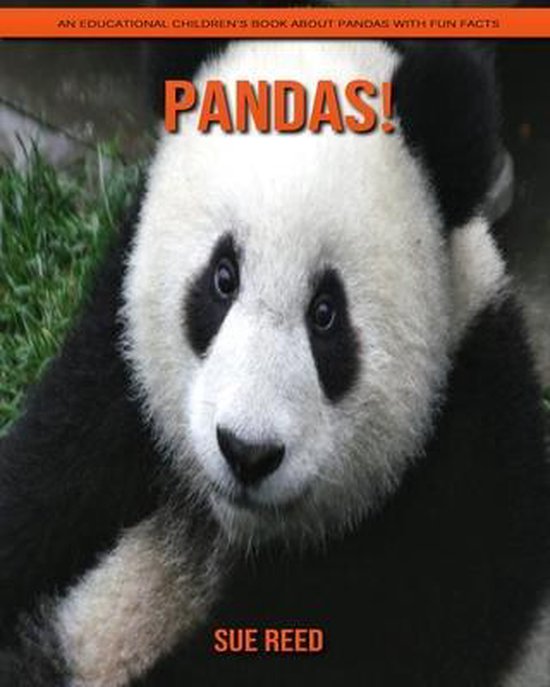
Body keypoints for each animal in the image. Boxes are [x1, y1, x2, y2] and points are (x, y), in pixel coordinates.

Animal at [0, 38, 549, 687]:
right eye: (222, 278)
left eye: (326, 314)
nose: (247, 451)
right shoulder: (113, 368)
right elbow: (47, 474)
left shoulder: (462, 491)